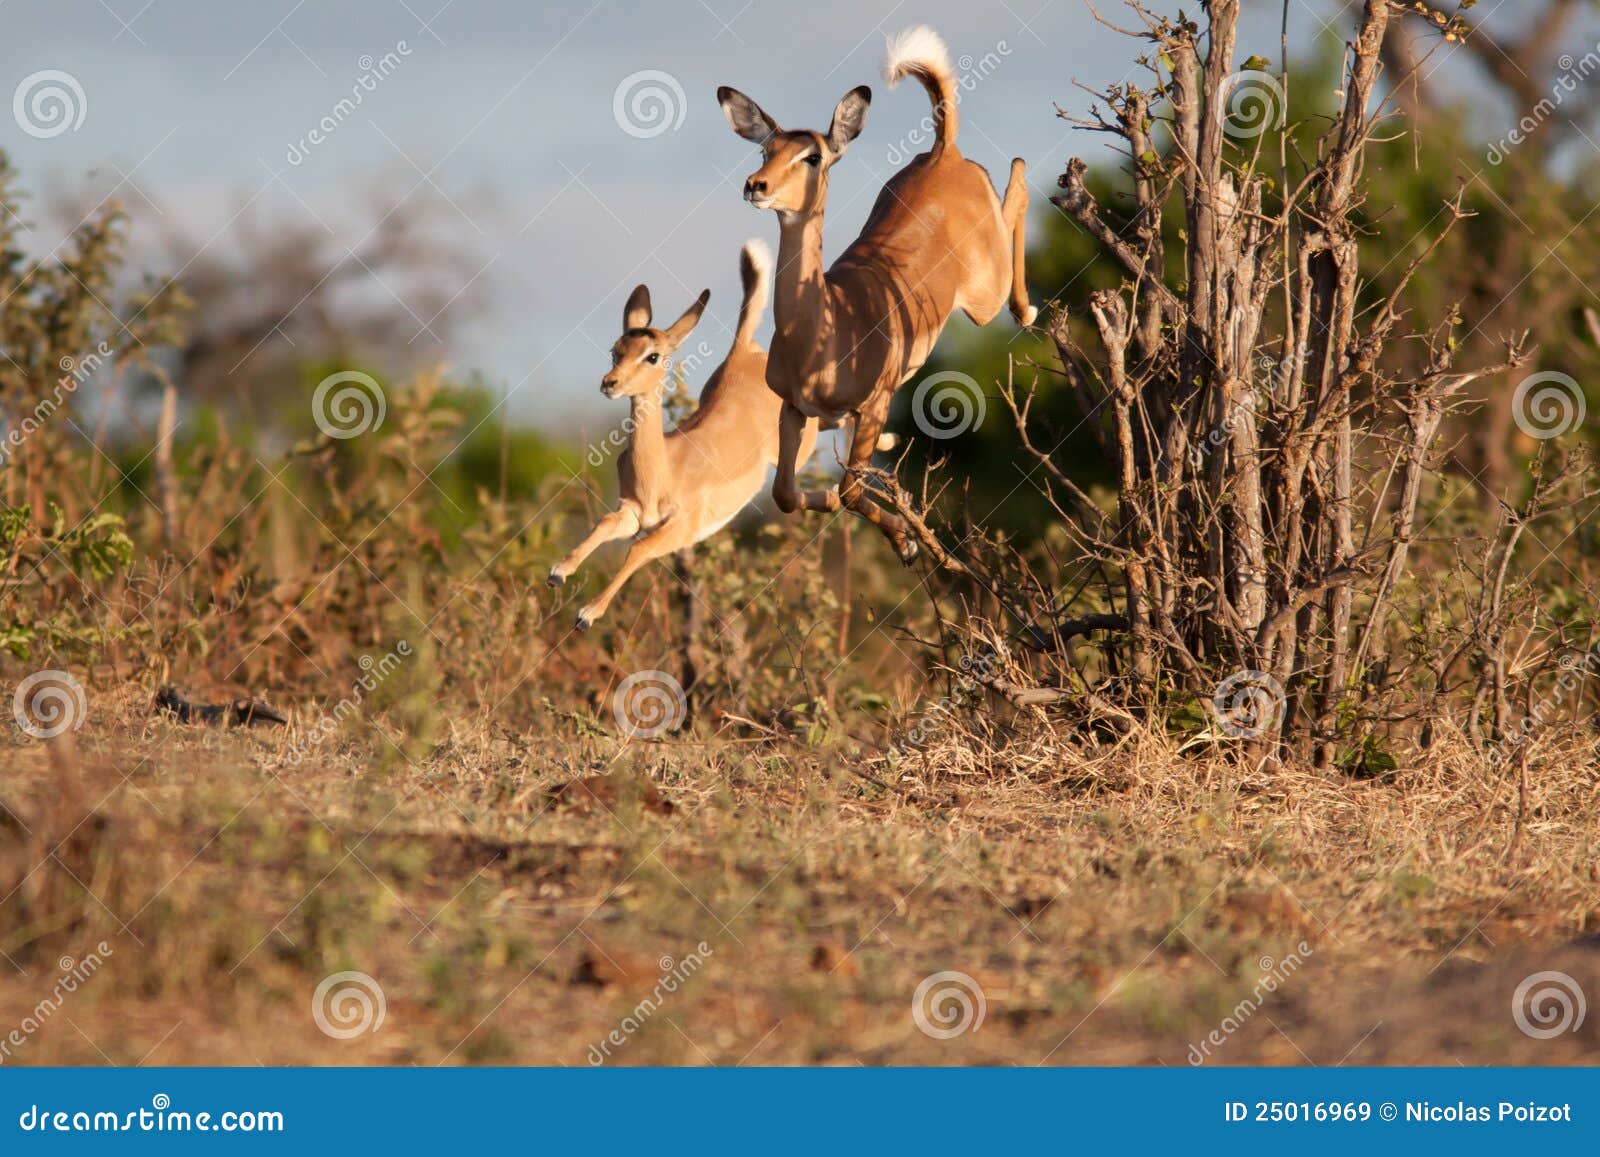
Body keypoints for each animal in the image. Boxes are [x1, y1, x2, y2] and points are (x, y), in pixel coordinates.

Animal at [548, 240, 820, 630]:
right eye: (616, 350)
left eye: (652, 355)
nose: (609, 383)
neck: (664, 466)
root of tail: (743, 351)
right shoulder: (633, 512)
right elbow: (605, 523)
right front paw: (558, 571)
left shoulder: (682, 526)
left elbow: (640, 547)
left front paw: (587, 613)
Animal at [717, 25, 1036, 562]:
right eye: (766, 151)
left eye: (812, 156)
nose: (755, 185)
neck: (825, 333)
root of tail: (943, 150)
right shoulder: (794, 409)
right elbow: (786, 494)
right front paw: (840, 505)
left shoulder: (874, 405)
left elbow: (850, 489)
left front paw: (907, 543)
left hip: (983, 299)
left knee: (1018, 179)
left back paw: (1027, 310)